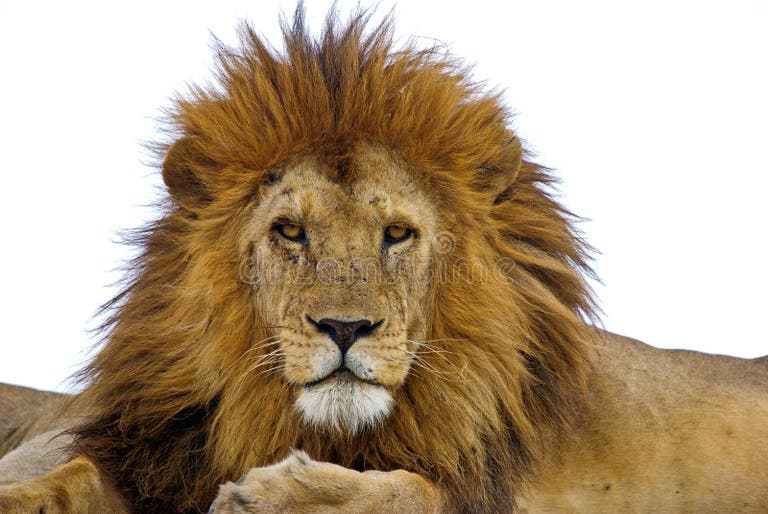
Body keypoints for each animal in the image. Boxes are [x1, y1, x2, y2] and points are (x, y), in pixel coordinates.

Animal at [1, 7, 767, 514]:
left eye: (396, 234)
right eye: (290, 231)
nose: (345, 329)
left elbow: (415, 492)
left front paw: (285, 495)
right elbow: (74, 473)